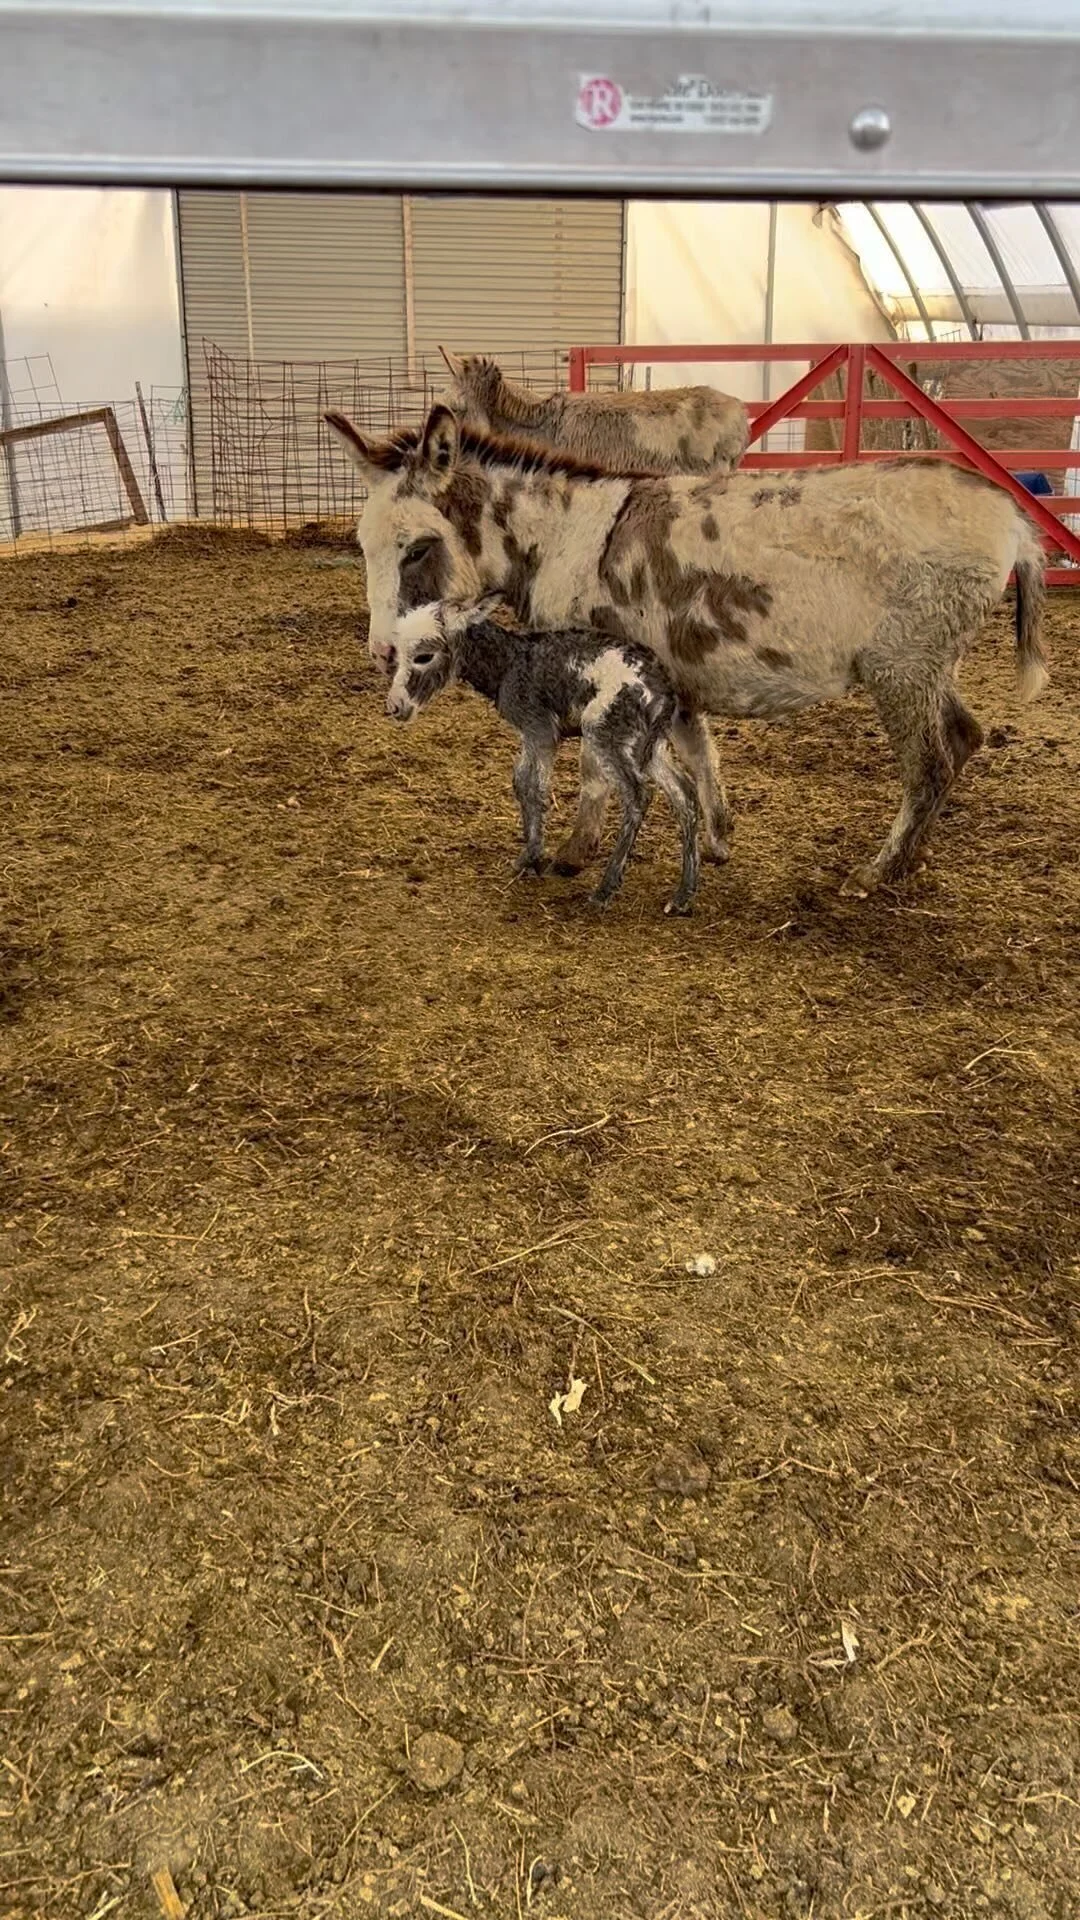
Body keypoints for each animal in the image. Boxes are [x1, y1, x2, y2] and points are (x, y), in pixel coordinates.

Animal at [385, 595, 701, 915]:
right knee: (684, 793)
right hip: (649, 746)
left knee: (638, 795)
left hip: (607, 734)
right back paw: (681, 896)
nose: (395, 707)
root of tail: (662, 689)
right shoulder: (531, 734)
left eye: (424, 656)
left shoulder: (540, 731)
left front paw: (533, 857)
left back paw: (605, 889)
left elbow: (533, 786)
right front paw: (530, 857)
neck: (509, 662)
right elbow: (521, 782)